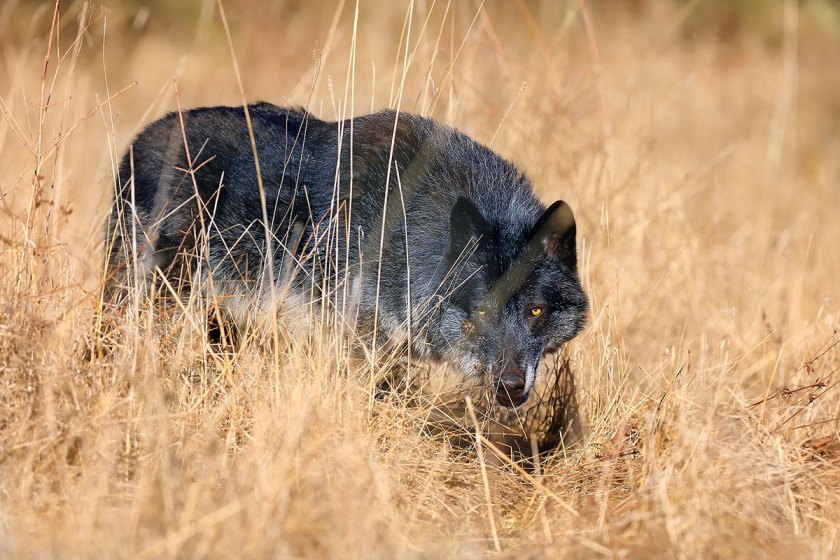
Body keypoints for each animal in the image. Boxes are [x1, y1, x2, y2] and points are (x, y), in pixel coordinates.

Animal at [105, 103, 588, 408]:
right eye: (481, 311)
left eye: (536, 311)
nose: (510, 387)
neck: (408, 229)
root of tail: (134, 145)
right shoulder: (358, 347)